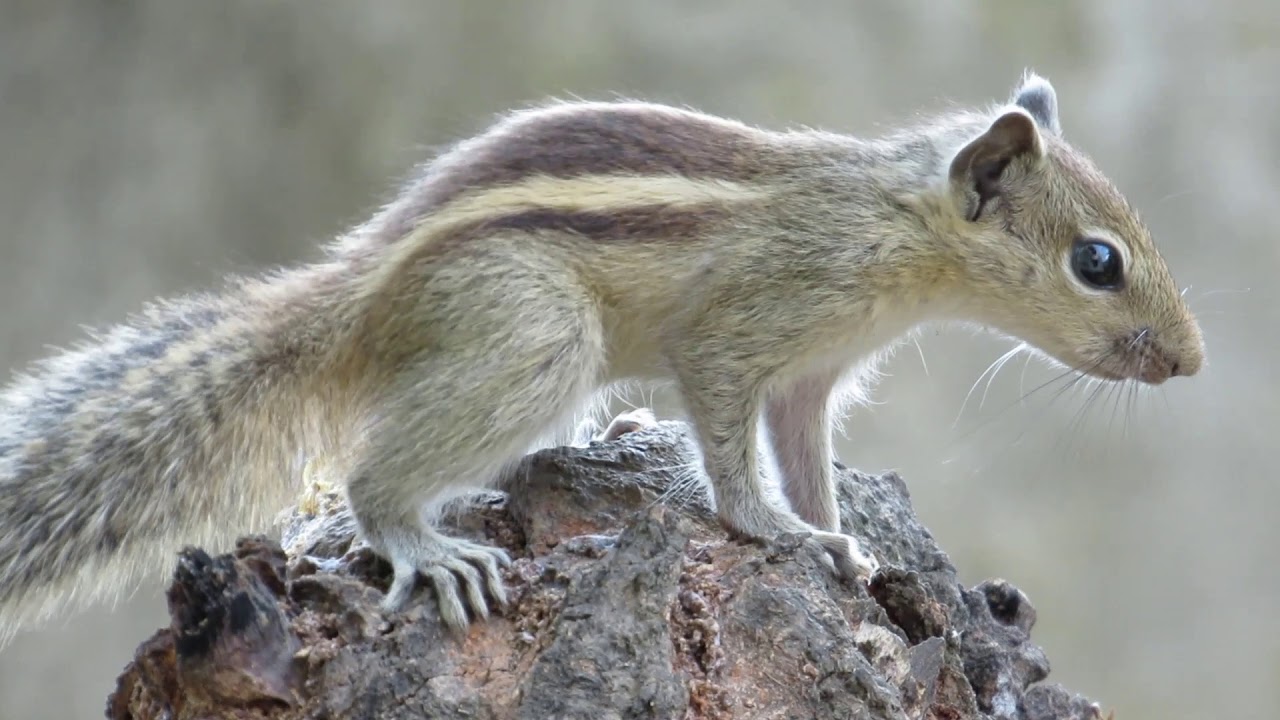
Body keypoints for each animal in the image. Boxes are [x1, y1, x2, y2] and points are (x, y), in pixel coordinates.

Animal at [0, 71, 1204, 646]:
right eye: (1097, 261)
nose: (1190, 364)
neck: (894, 225)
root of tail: (358, 294)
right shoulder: (737, 336)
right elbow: (734, 457)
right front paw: (774, 530)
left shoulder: (808, 382)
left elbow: (807, 463)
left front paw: (838, 543)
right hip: (536, 331)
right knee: (372, 476)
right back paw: (422, 543)